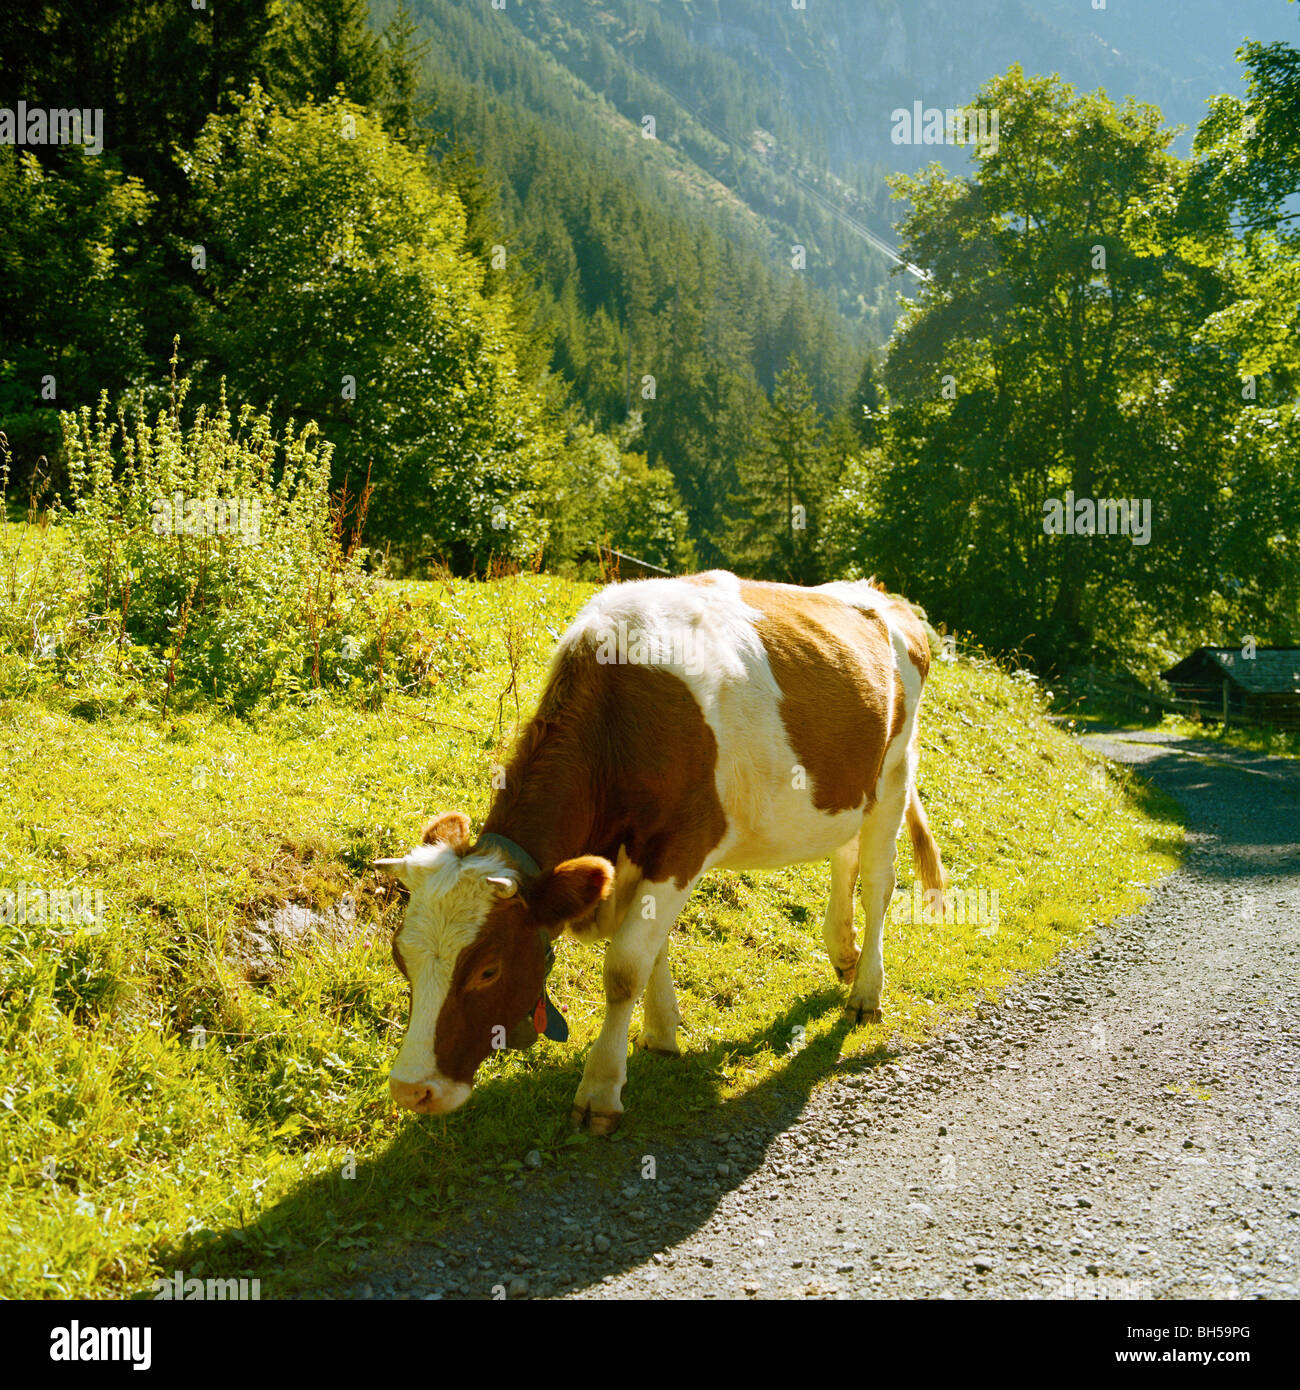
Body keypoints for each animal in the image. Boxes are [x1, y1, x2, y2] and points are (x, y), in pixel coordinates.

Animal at [378, 570, 947, 1133]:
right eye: (400, 958)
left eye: (488, 970)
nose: (411, 1089)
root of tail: (880, 593)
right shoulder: (638, 859)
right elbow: (652, 949)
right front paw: (661, 1030)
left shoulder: (682, 846)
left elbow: (625, 965)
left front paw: (601, 1088)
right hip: (850, 789)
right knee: (844, 856)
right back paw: (843, 953)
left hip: (896, 773)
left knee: (878, 883)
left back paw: (866, 992)